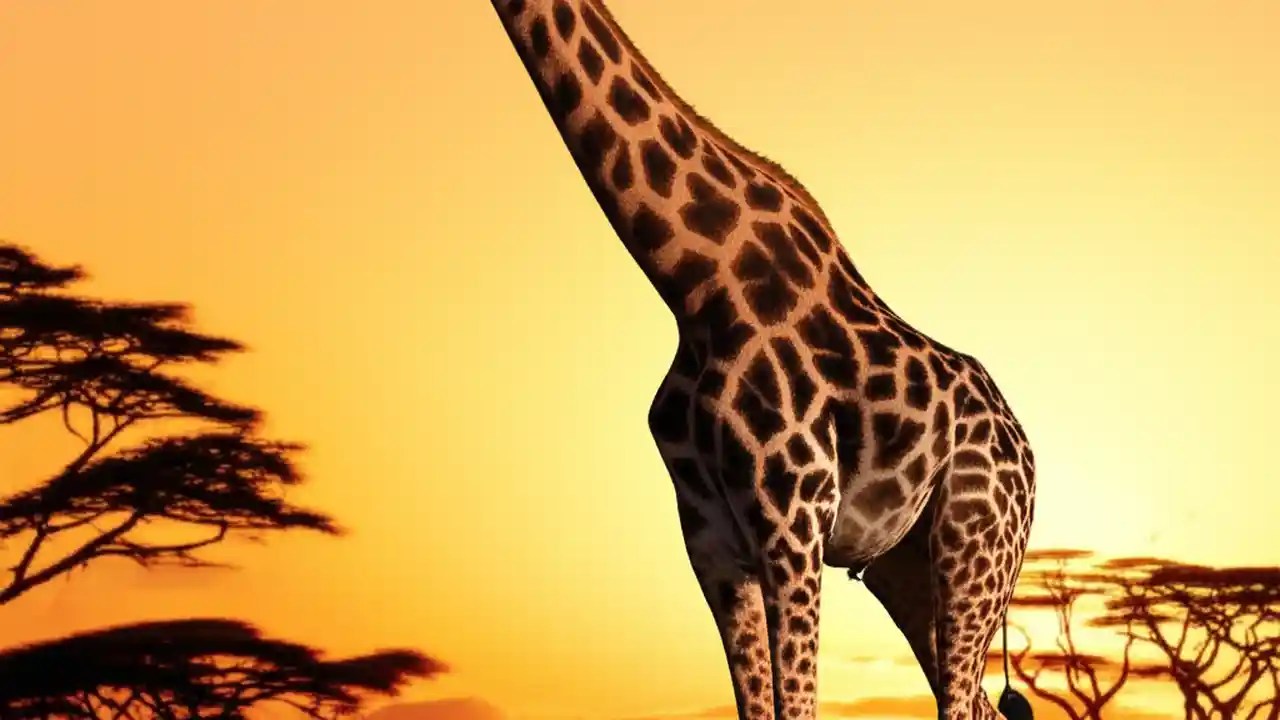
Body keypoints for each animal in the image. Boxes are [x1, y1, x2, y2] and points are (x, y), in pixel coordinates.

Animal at [485, 2, 1036, 718]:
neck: (698, 285)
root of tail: (1027, 458)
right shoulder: (711, 542)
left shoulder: (793, 525)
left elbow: (798, 704)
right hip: (905, 570)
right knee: (977, 700)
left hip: (975, 549)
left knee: (964, 700)